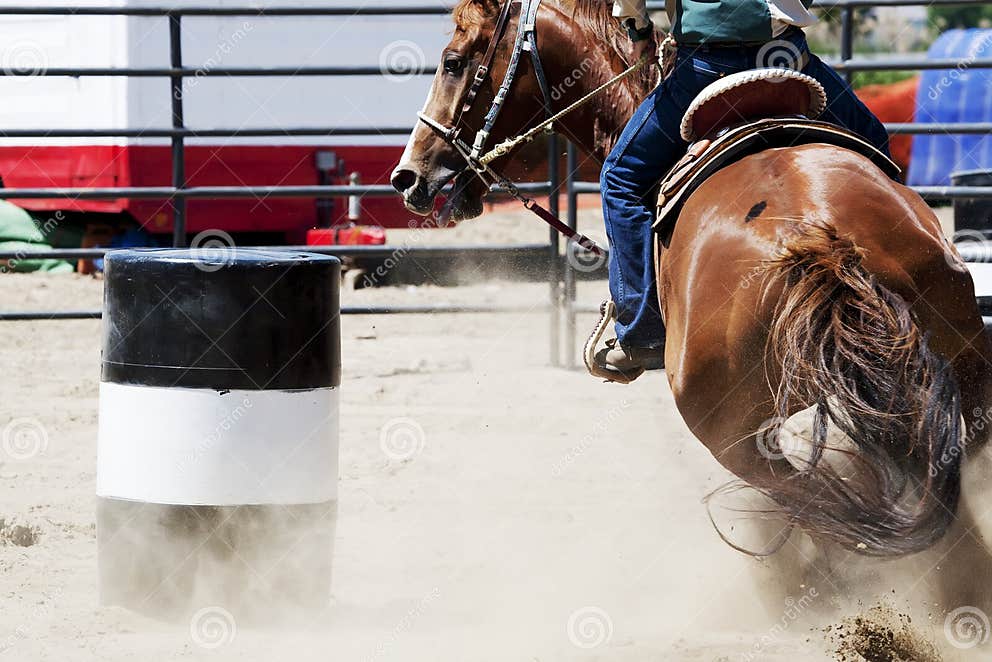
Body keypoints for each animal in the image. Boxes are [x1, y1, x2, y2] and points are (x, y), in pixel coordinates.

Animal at [391, 0, 992, 641]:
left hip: (726, 432)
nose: (409, 176)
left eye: (454, 61)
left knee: (814, 502)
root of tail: (818, 240)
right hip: (961, 376)